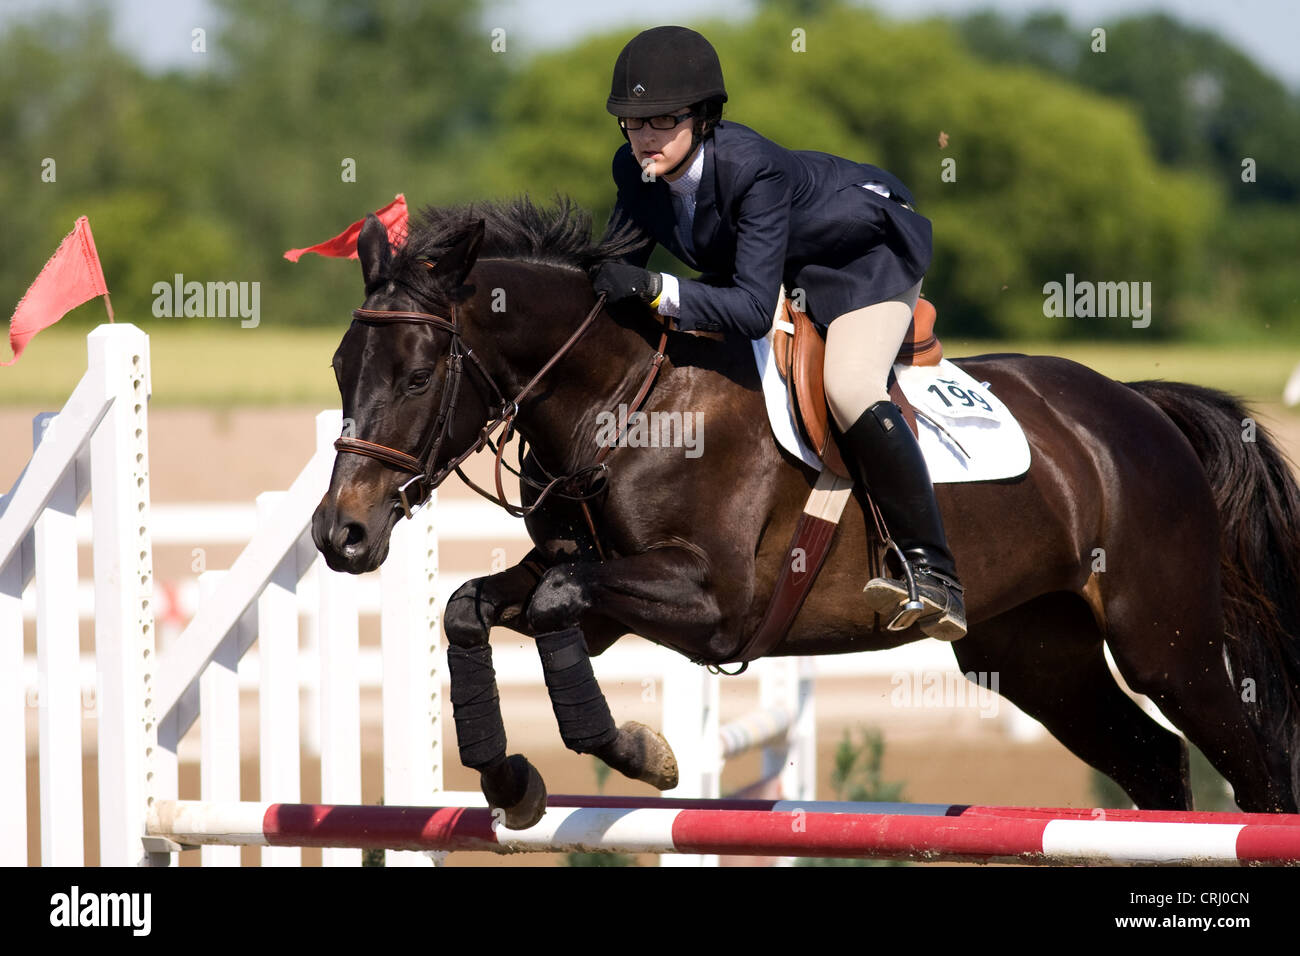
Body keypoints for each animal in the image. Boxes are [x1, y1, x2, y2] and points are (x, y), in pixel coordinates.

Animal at [312, 197, 1300, 829]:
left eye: (416, 376)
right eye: (339, 369)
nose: (340, 534)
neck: (627, 399)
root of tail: (1137, 409)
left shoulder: (711, 605)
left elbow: (556, 604)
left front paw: (637, 752)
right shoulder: (599, 602)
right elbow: (472, 606)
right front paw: (511, 778)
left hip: (1164, 644)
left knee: (1254, 768)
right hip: (1036, 655)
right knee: (1154, 761)